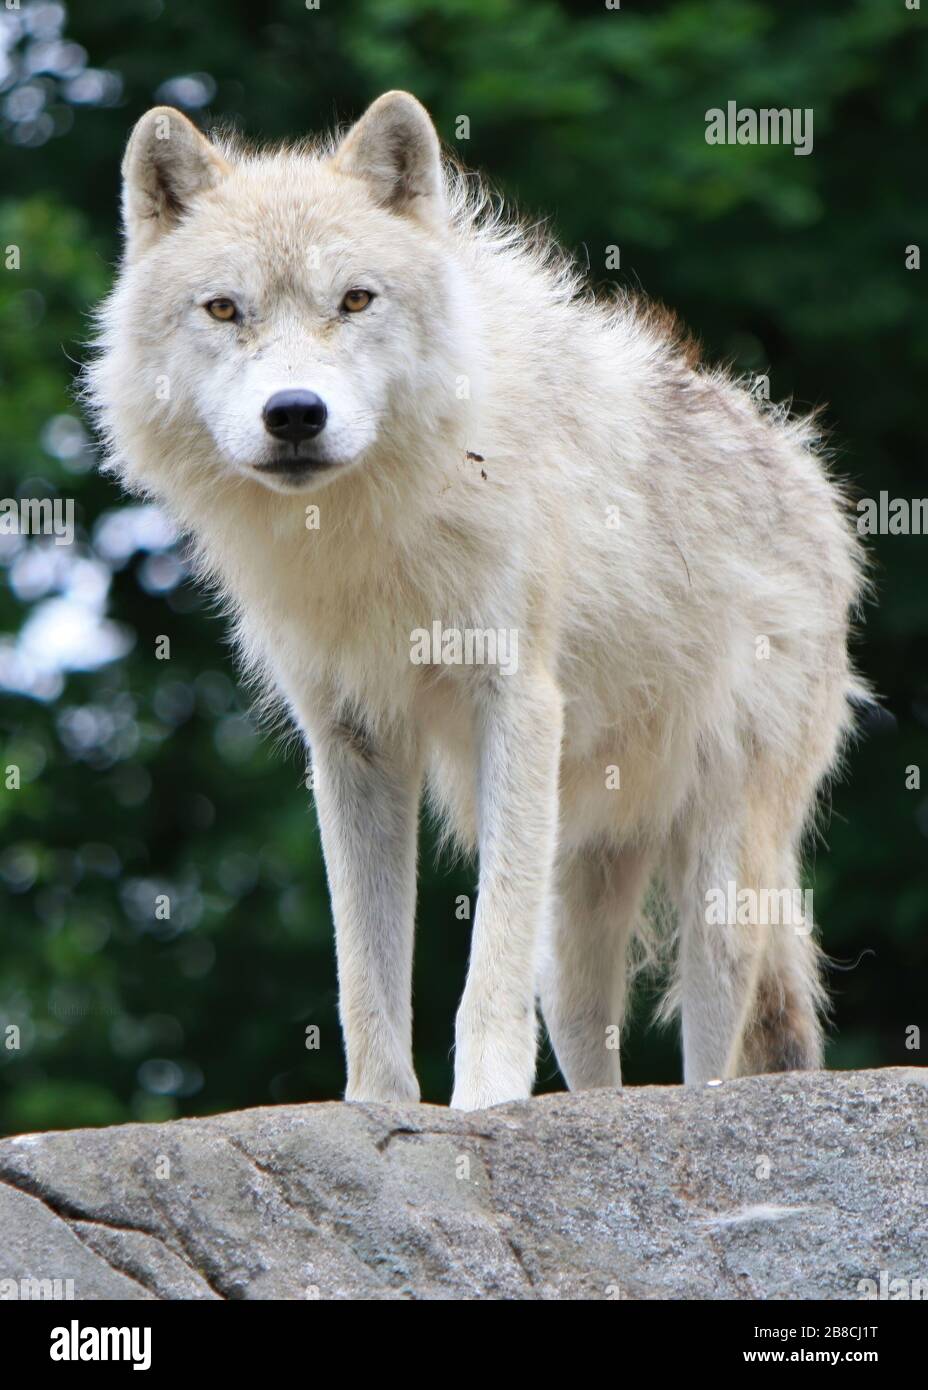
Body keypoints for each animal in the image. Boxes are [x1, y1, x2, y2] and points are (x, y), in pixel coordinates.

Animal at [88, 91, 867, 1110]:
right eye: (224, 309)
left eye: (355, 300)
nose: (294, 414)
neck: (367, 529)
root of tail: (810, 477)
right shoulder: (351, 740)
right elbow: (365, 971)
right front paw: (379, 1109)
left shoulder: (517, 700)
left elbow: (484, 965)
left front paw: (486, 1103)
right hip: (580, 904)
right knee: (588, 1037)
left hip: (721, 879)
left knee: (714, 1040)